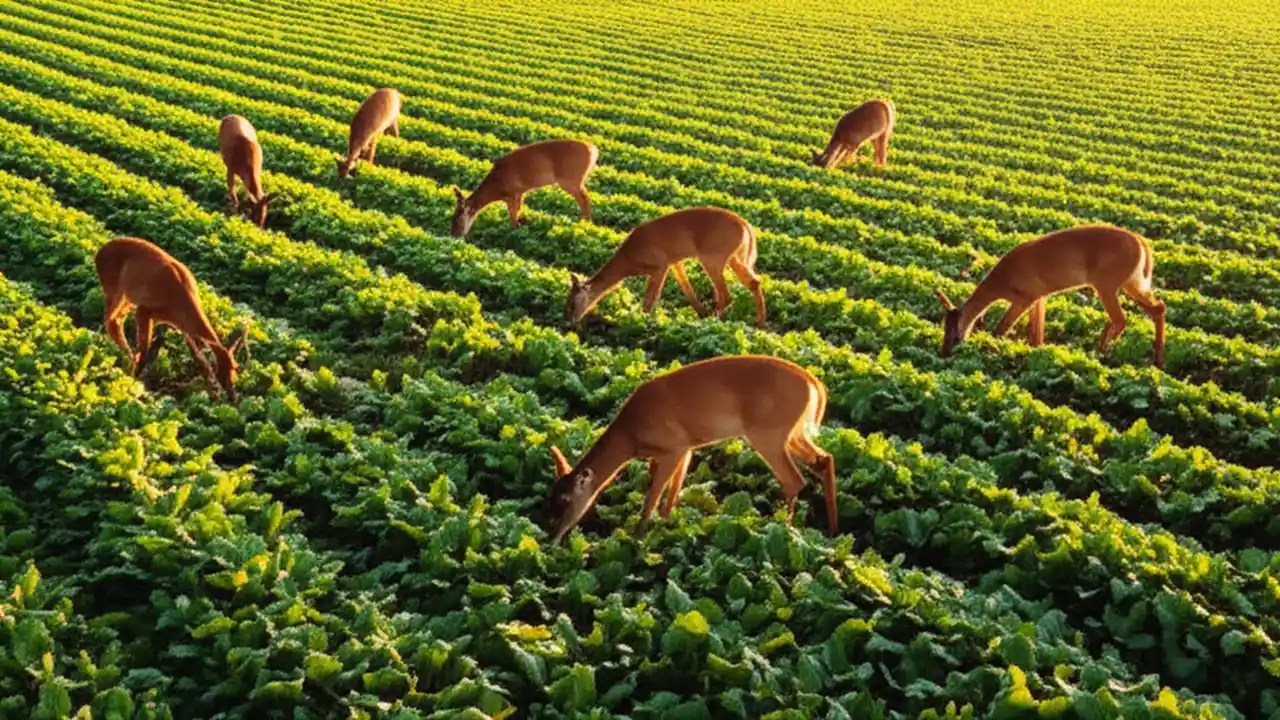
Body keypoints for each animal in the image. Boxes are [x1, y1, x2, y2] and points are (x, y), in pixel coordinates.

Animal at [94, 237, 251, 402]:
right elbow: (144, 352)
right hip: (114, 290)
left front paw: (212, 393)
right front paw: (134, 383)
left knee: (115, 321)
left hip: (126, 297)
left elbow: (199, 358)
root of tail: (100, 250)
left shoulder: (182, 325)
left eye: (236, 367)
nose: (233, 396)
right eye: (226, 369)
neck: (181, 300)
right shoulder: (144, 310)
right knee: (111, 322)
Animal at [450, 139, 598, 236]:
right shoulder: (520, 191)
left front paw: (513, 230)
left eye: (457, 220)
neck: (497, 185)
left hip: (571, 179)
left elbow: (512, 214)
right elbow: (519, 209)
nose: (453, 235)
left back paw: (586, 223)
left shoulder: (511, 192)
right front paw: (523, 223)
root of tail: (593, 150)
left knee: (585, 200)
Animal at [546, 355, 837, 544]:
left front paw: (637, 538)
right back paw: (832, 529)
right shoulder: (685, 448)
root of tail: (814, 385)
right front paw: (667, 527)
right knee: (825, 460)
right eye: (550, 497)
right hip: (791, 431)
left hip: (768, 433)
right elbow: (672, 493)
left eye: (565, 501)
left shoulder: (672, 448)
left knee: (794, 479)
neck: (630, 436)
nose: (552, 536)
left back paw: (782, 531)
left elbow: (653, 496)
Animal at [565, 207, 766, 328]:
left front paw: (642, 320)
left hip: (713, 257)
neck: (628, 260)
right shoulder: (674, 262)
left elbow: (651, 298)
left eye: (572, 304)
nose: (569, 323)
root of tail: (746, 226)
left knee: (726, 294)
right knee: (754, 283)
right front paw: (700, 312)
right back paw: (760, 324)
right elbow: (686, 288)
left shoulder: (659, 265)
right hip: (735, 258)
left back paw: (711, 320)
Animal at [934, 224, 1166, 367]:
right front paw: (1038, 353)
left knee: (1120, 319)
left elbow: (1001, 328)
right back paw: (1157, 360)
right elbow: (1036, 334)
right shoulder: (1039, 296)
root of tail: (1142, 243)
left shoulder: (1025, 297)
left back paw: (1098, 353)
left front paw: (993, 350)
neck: (1002, 281)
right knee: (1158, 308)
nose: (943, 353)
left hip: (1107, 285)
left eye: (952, 332)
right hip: (1131, 283)